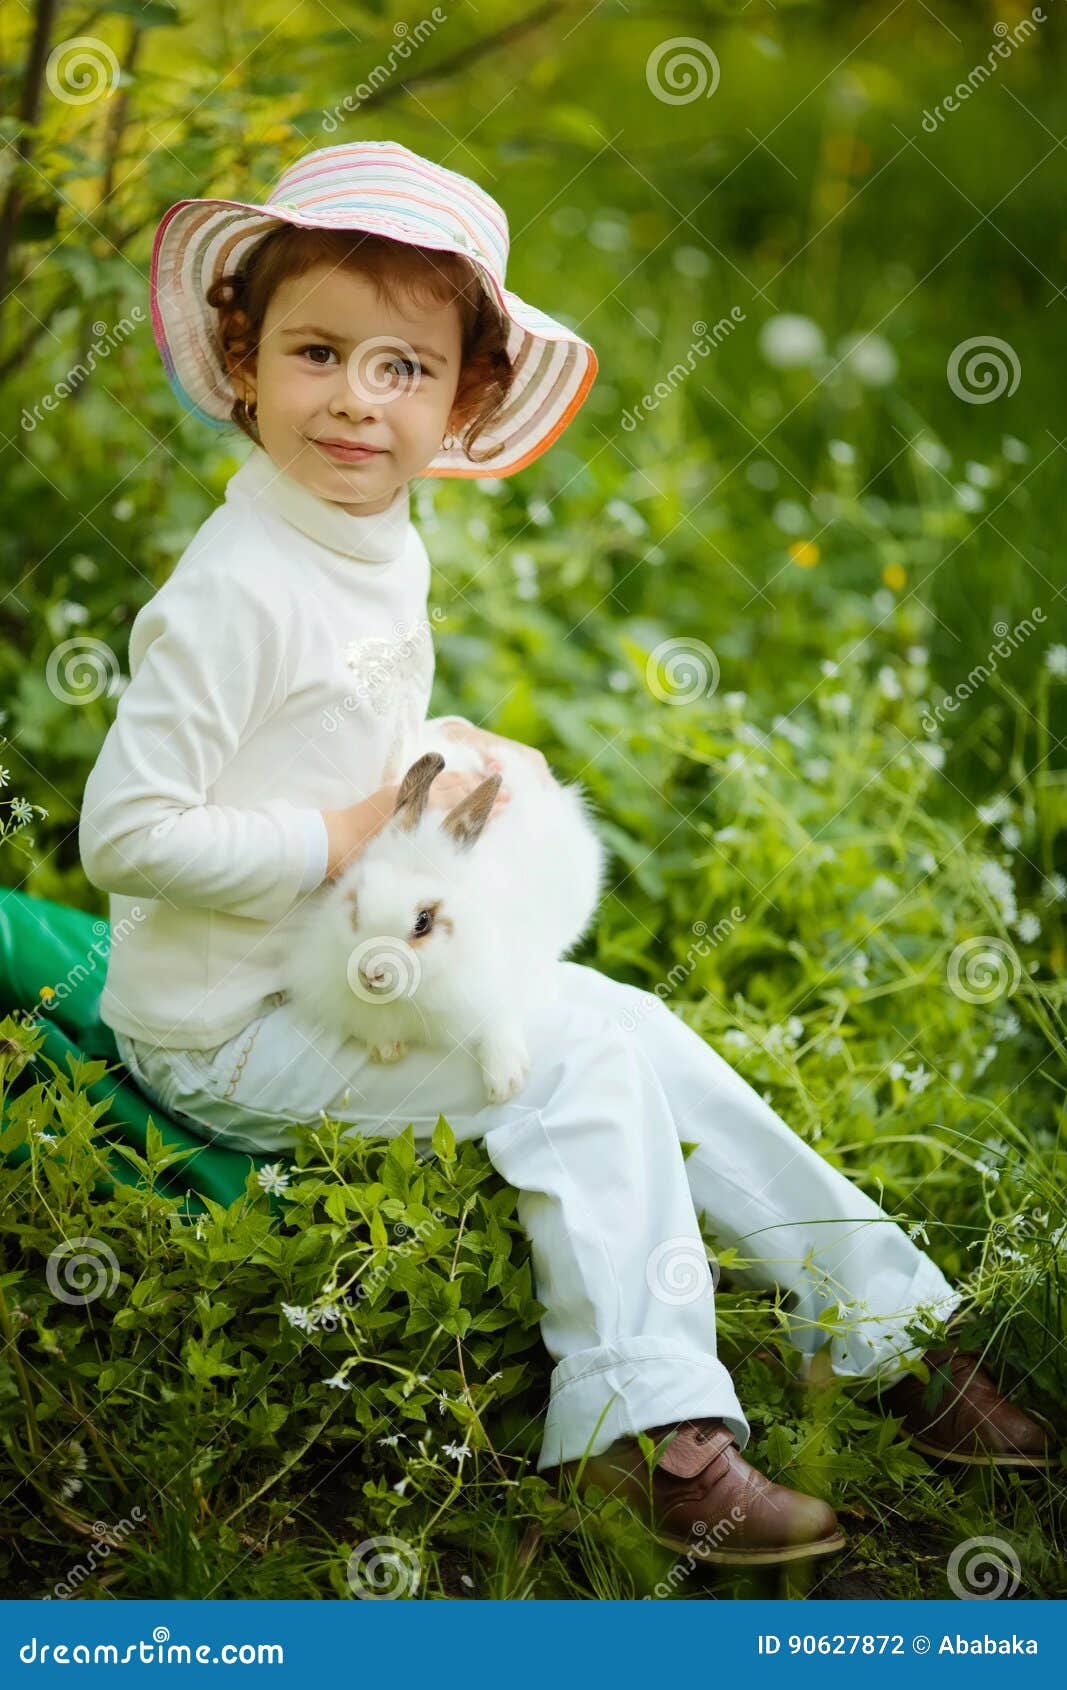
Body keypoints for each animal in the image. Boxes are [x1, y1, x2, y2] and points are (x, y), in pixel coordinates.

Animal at [285, 724, 607, 1104]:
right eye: (355, 904)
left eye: (423, 921)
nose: (370, 973)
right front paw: (386, 1049)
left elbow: (502, 1019)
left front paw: (505, 1082)